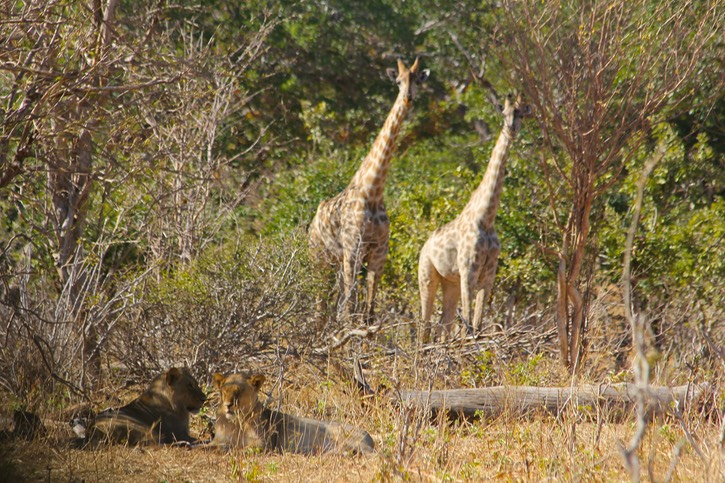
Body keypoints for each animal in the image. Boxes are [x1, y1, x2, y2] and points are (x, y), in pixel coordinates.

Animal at [210, 372, 375, 455]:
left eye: (239, 392)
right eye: (224, 391)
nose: (228, 405)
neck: (235, 422)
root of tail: (368, 435)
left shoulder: (263, 444)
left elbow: (235, 448)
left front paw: (223, 449)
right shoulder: (219, 438)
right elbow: (211, 445)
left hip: (346, 438)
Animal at [308, 58, 429, 324]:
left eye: (418, 80)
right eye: (398, 81)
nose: (408, 98)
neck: (372, 191)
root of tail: (312, 223)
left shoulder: (378, 253)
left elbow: (369, 312)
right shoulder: (353, 249)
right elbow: (350, 309)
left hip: (335, 262)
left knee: (331, 306)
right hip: (320, 257)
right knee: (321, 307)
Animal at [417, 94, 528, 342]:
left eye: (521, 114)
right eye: (503, 113)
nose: (511, 129)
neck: (486, 218)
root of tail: (424, 247)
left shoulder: (489, 273)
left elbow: (477, 324)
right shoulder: (469, 270)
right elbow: (468, 322)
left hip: (450, 283)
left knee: (444, 325)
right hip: (427, 276)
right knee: (425, 327)